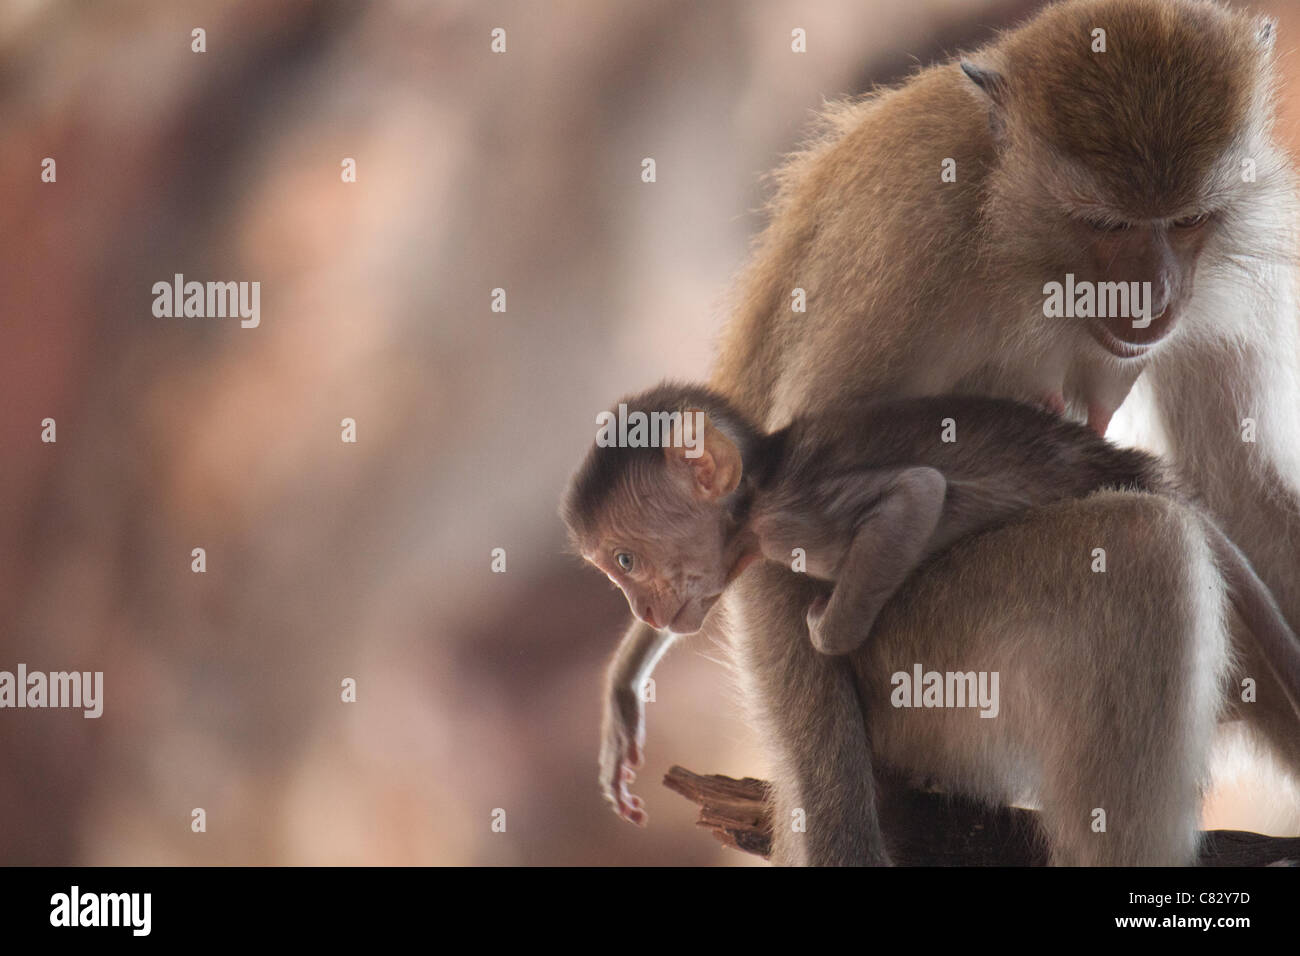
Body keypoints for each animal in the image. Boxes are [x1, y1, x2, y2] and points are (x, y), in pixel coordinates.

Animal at [591, 0, 1300, 864]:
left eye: (1191, 220)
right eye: (1103, 223)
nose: (1154, 295)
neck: (1014, 235)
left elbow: (1242, 486)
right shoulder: (913, 242)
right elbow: (773, 536)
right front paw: (839, 831)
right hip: (918, 688)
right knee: (1139, 552)